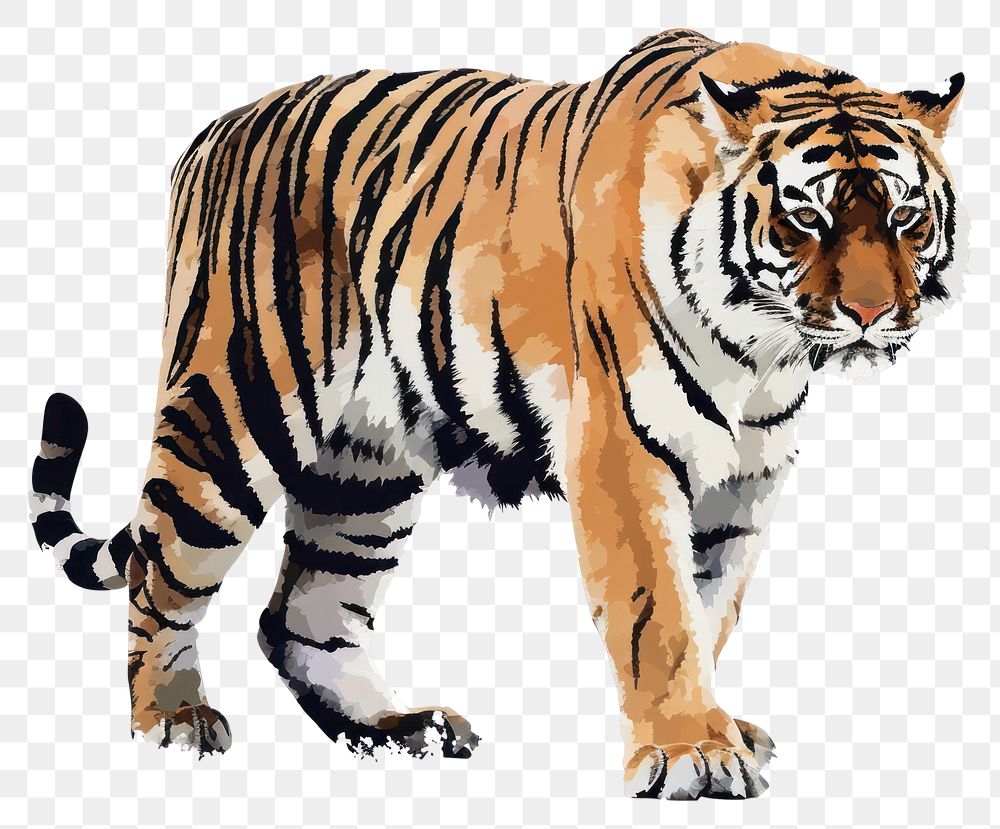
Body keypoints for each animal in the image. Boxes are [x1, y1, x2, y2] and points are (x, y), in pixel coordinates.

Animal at [29, 28, 965, 799]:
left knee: (301, 615)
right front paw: (690, 752)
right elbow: (660, 610)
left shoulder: (747, 475)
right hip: (232, 415)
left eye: (906, 215)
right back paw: (172, 722)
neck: (762, 350)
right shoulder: (623, 449)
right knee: (160, 575)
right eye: (806, 215)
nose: (877, 313)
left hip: (366, 474)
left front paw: (717, 726)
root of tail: (213, 132)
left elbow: (712, 605)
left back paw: (399, 729)